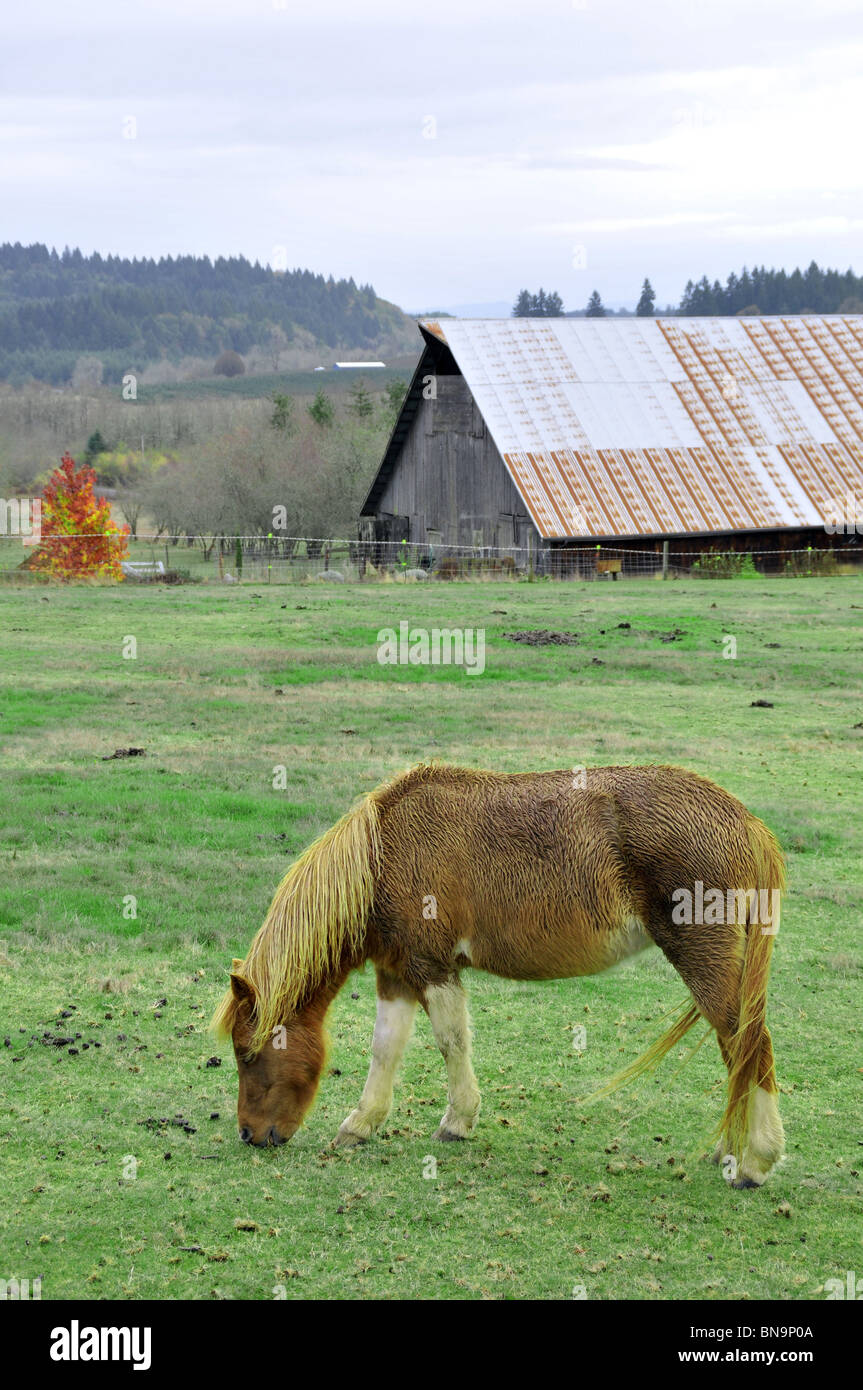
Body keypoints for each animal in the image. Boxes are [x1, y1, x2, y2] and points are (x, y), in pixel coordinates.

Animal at [211, 762, 786, 1188]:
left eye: (247, 1054)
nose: (249, 1135)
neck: (383, 853)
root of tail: (744, 821)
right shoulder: (396, 972)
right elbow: (386, 1049)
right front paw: (361, 1125)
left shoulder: (431, 968)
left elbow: (451, 1042)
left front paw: (457, 1121)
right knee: (736, 1051)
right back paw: (729, 1150)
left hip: (703, 959)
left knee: (751, 1045)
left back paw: (756, 1161)